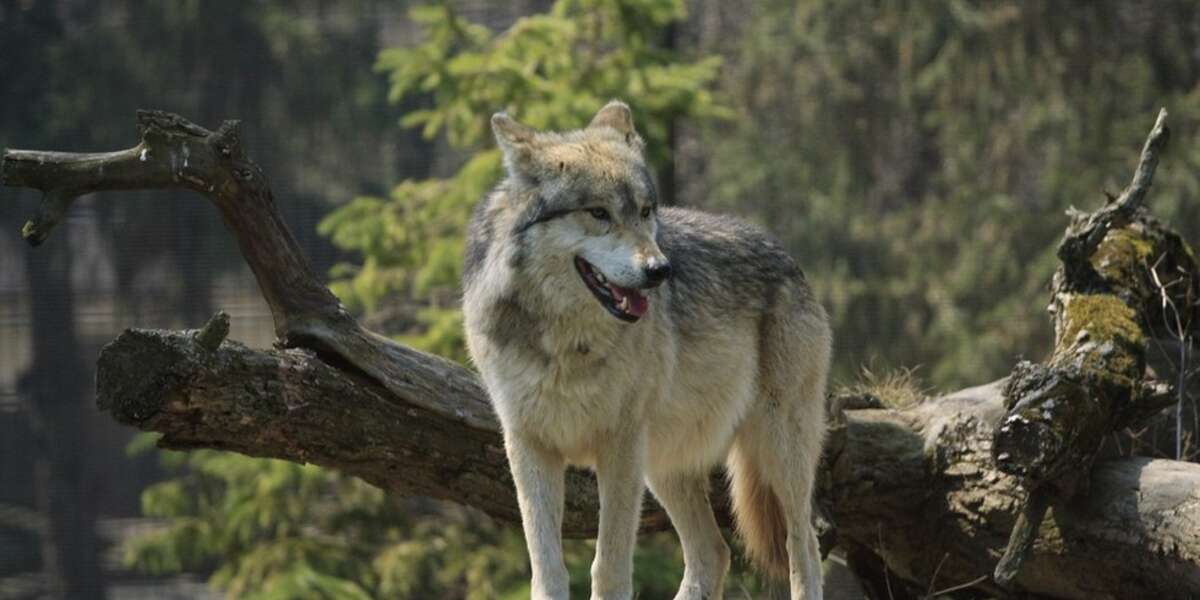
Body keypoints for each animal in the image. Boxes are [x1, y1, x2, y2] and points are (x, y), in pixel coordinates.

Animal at [462, 100, 831, 600]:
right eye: (598, 213)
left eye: (645, 211)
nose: (660, 271)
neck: (567, 344)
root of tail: (785, 253)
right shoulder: (528, 445)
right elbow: (547, 568)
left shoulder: (619, 444)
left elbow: (609, 566)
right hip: (662, 464)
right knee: (713, 553)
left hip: (775, 449)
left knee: (803, 545)